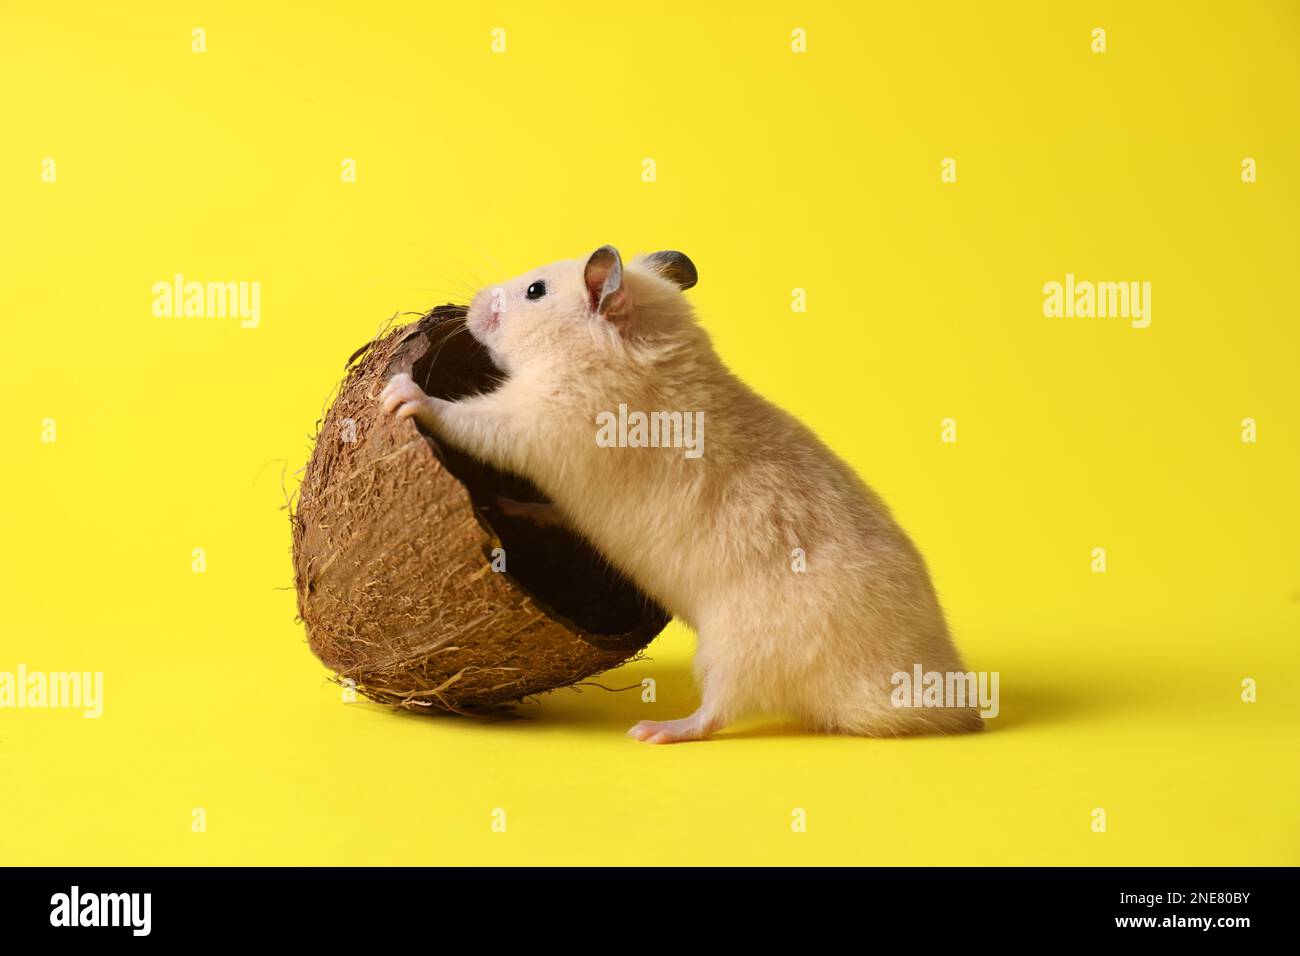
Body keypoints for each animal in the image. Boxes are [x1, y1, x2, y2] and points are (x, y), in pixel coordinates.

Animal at [380, 245, 983, 743]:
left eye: (535, 291)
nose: (474, 305)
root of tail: (937, 698)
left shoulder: (536, 420)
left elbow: (468, 421)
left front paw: (402, 393)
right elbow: (550, 508)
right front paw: (508, 506)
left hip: (739, 646)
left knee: (719, 712)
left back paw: (657, 731)